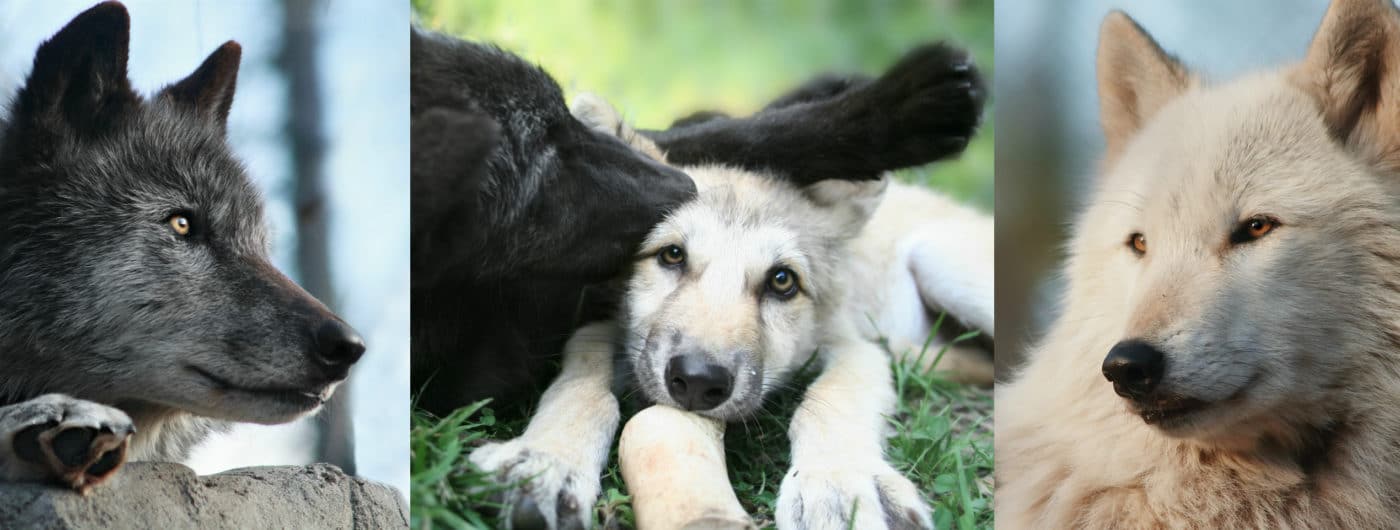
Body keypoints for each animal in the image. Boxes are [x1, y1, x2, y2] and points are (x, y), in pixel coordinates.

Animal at [468, 43, 993, 530]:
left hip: (945, 265)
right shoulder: (601, 326)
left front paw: (841, 483)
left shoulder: (851, 344)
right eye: (671, 255)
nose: (698, 382)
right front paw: (544, 460)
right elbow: (581, 385)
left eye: (782, 280)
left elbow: (830, 399)